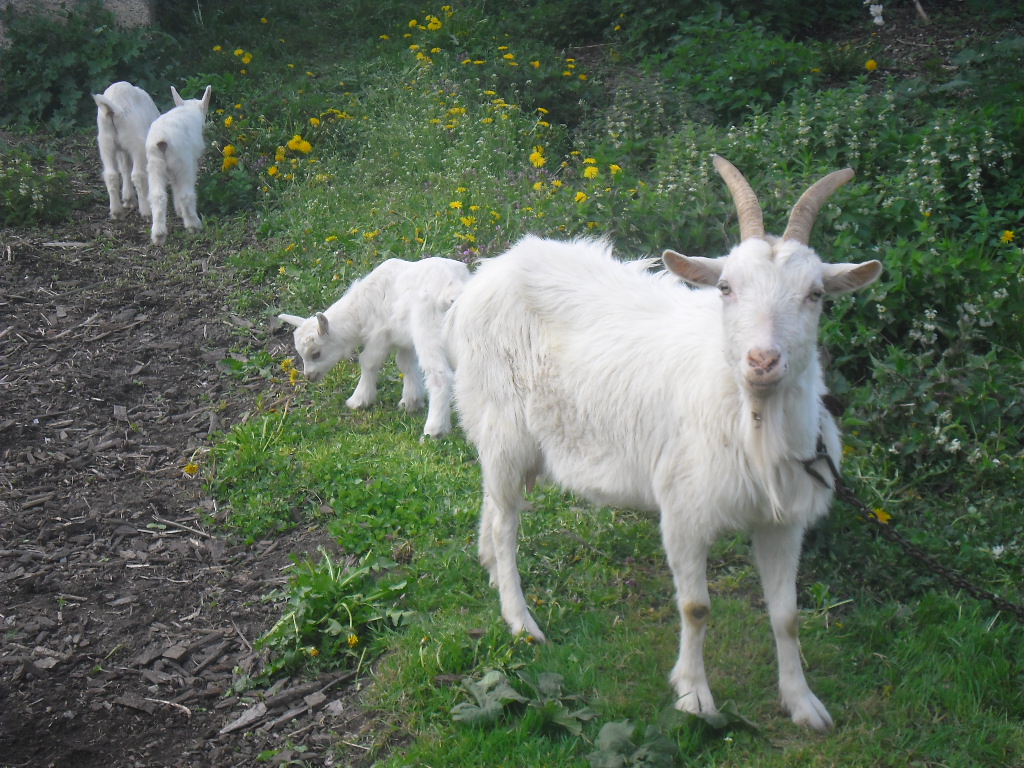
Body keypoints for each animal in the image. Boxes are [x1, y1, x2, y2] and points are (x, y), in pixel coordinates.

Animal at [92, 81, 160, 221]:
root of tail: (114, 109)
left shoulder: (121, 149)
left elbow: (124, 168)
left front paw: (128, 199)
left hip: (105, 142)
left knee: (111, 174)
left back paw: (116, 212)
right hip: (136, 142)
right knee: (138, 175)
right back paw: (146, 211)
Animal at [145, 85, 212, 245]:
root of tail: (162, 140)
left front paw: (179, 212)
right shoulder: (189, 163)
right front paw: (182, 213)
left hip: (154, 166)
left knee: (158, 196)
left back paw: (158, 235)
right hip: (183, 164)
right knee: (185, 195)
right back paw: (194, 226)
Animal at [279, 256, 471, 439]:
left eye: (316, 354)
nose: (309, 376)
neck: (361, 306)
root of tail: (453, 291)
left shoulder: (380, 334)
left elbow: (368, 361)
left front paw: (359, 400)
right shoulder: (404, 340)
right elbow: (406, 365)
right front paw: (411, 402)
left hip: (427, 330)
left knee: (440, 375)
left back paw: (434, 430)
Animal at [445, 156, 882, 731]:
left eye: (815, 294)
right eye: (726, 287)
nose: (762, 361)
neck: (749, 420)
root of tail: (488, 273)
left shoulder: (783, 522)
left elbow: (787, 616)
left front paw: (803, 703)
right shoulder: (684, 509)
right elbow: (696, 608)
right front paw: (694, 697)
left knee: (493, 503)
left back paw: (492, 571)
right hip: (504, 425)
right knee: (505, 523)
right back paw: (520, 620)